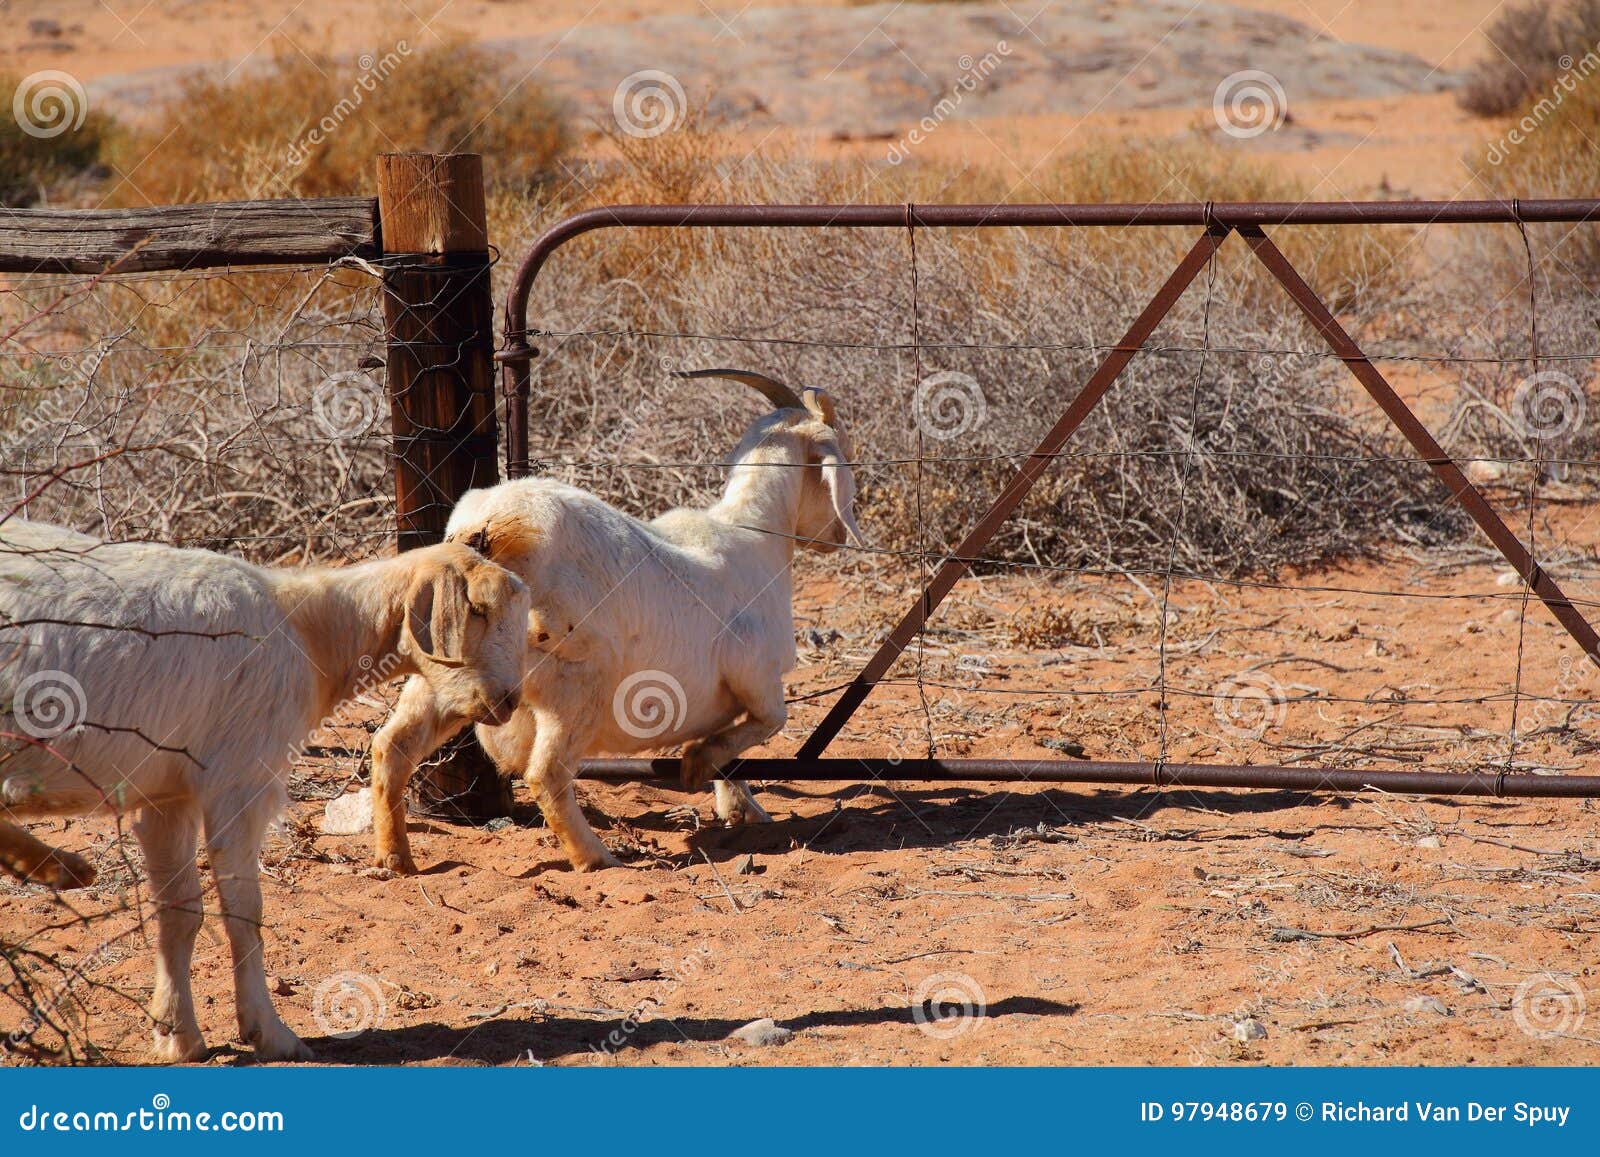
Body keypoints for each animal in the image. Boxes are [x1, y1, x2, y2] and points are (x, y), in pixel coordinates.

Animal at [0, 520, 530, 1061]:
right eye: (479, 610)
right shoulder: (241, 777)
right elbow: (245, 912)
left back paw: (55, 866)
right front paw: (270, 1033)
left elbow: (180, 912)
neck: (312, 633)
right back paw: (58, 866)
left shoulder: (168, 796)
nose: (509, 701)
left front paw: (178, 1036)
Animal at [369, 369, 860, 874]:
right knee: (547, 774)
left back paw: (396, 858)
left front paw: (740, 806)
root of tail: (491, 530)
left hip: (439, 673)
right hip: (576, 683)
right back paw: (597, 858)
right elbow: (768, 723)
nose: (837, 534)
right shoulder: (758, 676)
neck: (752, 536)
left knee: (392, 747)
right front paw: (697, 765)